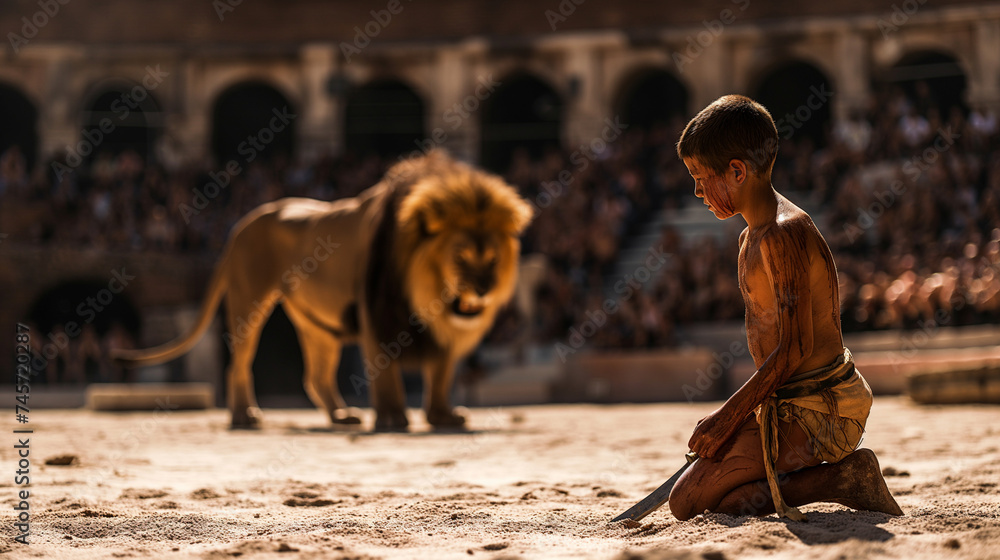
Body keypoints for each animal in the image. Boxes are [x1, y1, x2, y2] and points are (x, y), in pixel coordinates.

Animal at [113, 151, 533, 430]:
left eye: (492, 257)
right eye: (460, 255)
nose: (484, 289)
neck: (427, 292)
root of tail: (240, 226)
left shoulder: (440, 327)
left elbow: (442, 370)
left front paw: (443, 417)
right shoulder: (374, 311)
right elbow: (385, 368)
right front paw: (393, 418)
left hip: (317, 325)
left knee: (315, 375)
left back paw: (341, 416)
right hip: (249, 299)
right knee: (239, 361)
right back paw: (245, 416)